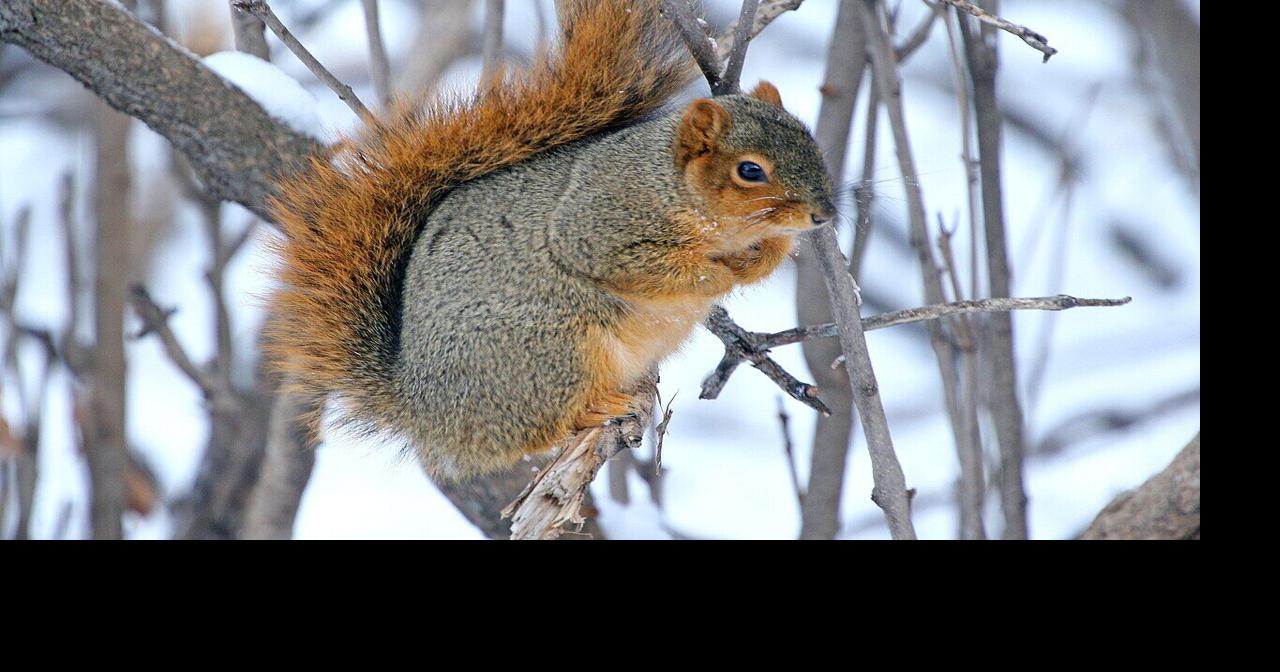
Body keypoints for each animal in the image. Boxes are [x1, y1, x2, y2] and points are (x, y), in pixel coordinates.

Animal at [266, 0, 835, 480]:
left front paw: (765, 257)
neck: (671, 185)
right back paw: (595, 408)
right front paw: (717, 273)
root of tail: (422, 409)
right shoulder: (598, 225)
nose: (824, 214)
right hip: (553, 351)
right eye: (749, 171)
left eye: (812, 140)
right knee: (535, 431)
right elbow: (648, 267)